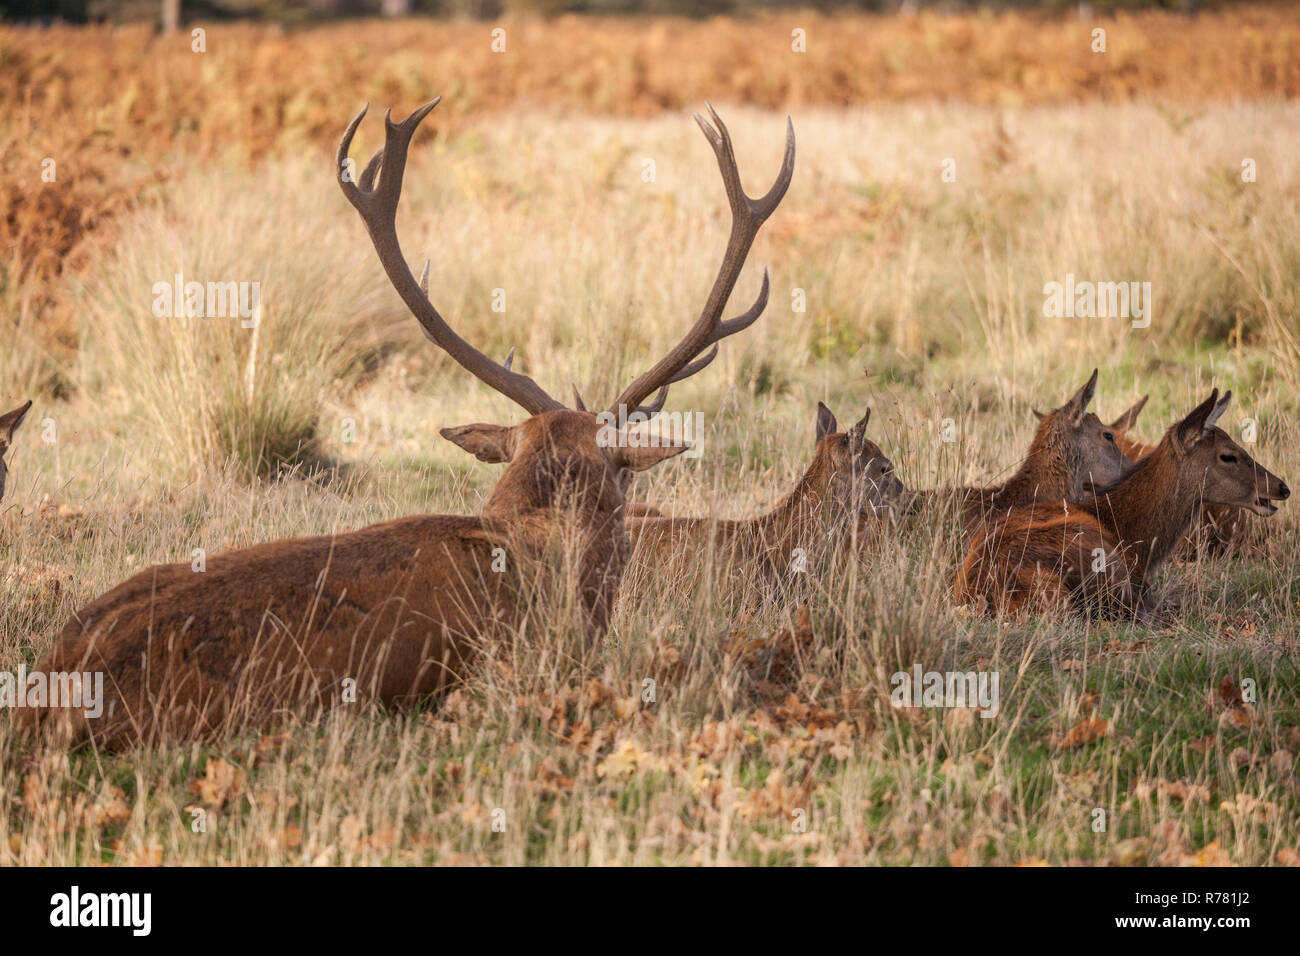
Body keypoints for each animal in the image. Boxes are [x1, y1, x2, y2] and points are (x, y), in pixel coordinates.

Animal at [955, 390, 1290, 618]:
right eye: (1227, 455)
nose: (1282, 487)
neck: (1136, 536)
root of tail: (982, 591)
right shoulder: (1136, 580)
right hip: (1099, 565)